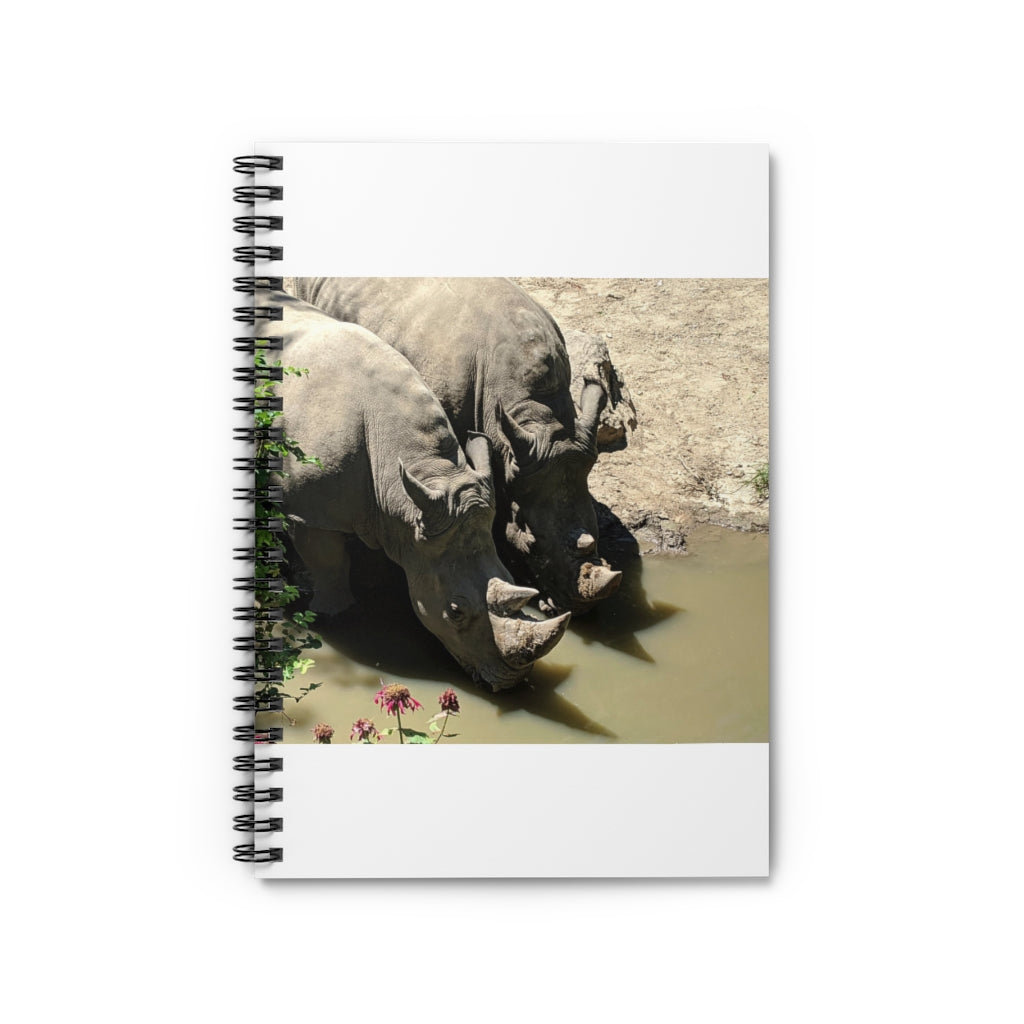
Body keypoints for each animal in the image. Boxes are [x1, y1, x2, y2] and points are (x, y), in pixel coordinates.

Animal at [270, 292, 570, 691]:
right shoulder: (311, 511)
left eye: (513, 579)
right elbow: (329, 565)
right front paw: (335, 615)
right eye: (455, 611)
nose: (511, 683)